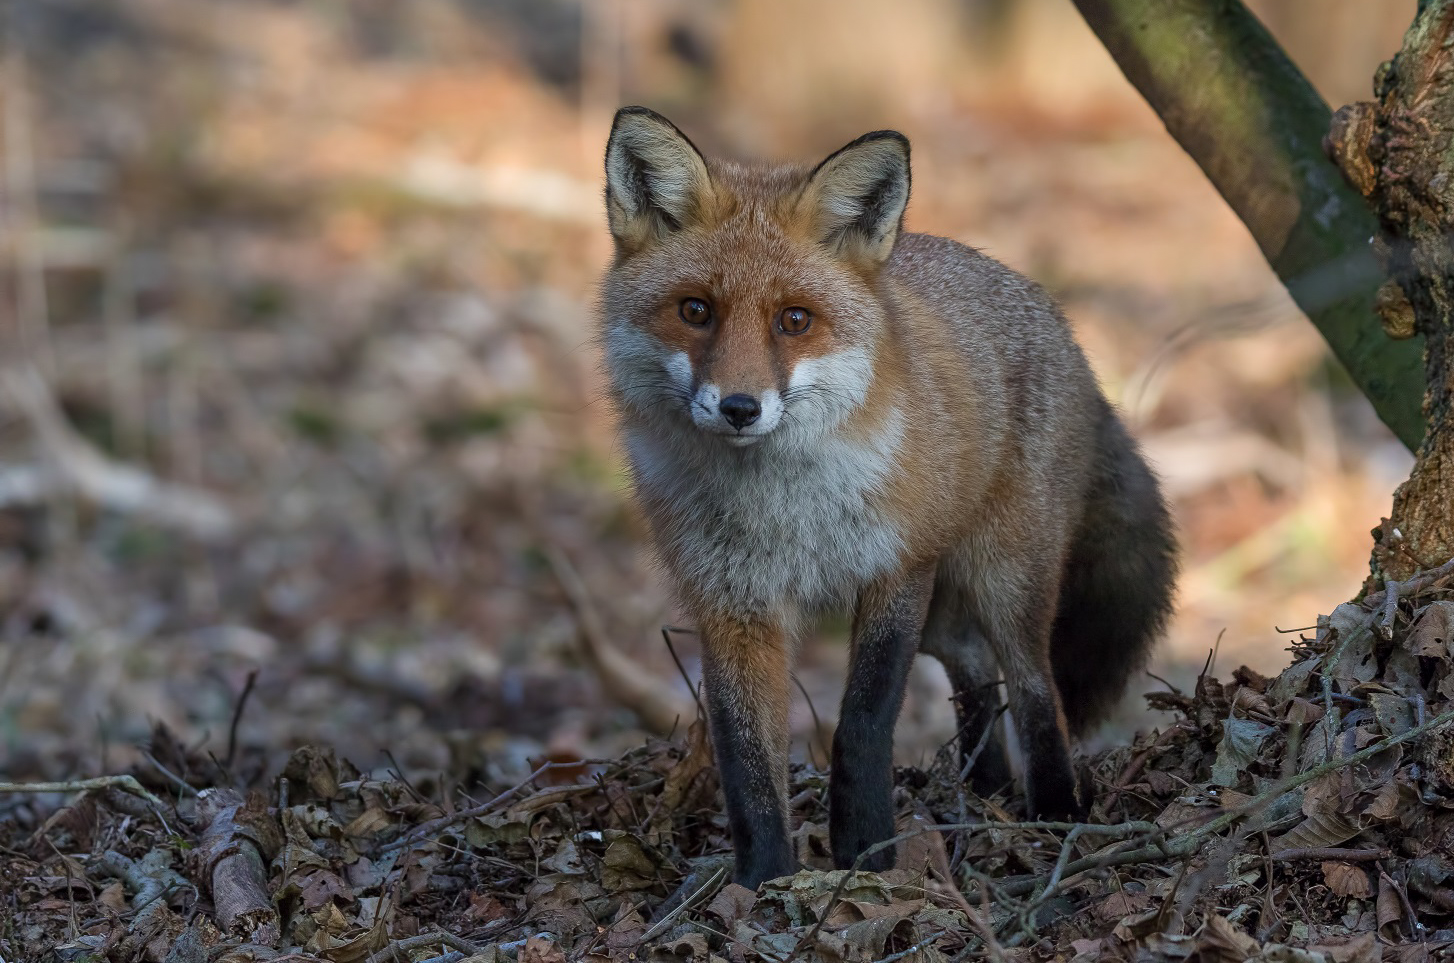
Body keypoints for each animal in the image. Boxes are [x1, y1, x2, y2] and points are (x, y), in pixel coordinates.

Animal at [598, 106, 1177, 889]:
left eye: (794, 319)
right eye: (695, 311)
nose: (741, 407)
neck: (783, 510)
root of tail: (1046, 309)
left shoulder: (896, 569)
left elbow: (864, 727)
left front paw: (868, 853)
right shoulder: (730, 602)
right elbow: (747, 764)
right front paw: (763, 883)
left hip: (1004, 574)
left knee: (1034, 685)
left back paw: (1054, 811)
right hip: (946, 607)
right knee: (973, 669)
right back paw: (986, 788)